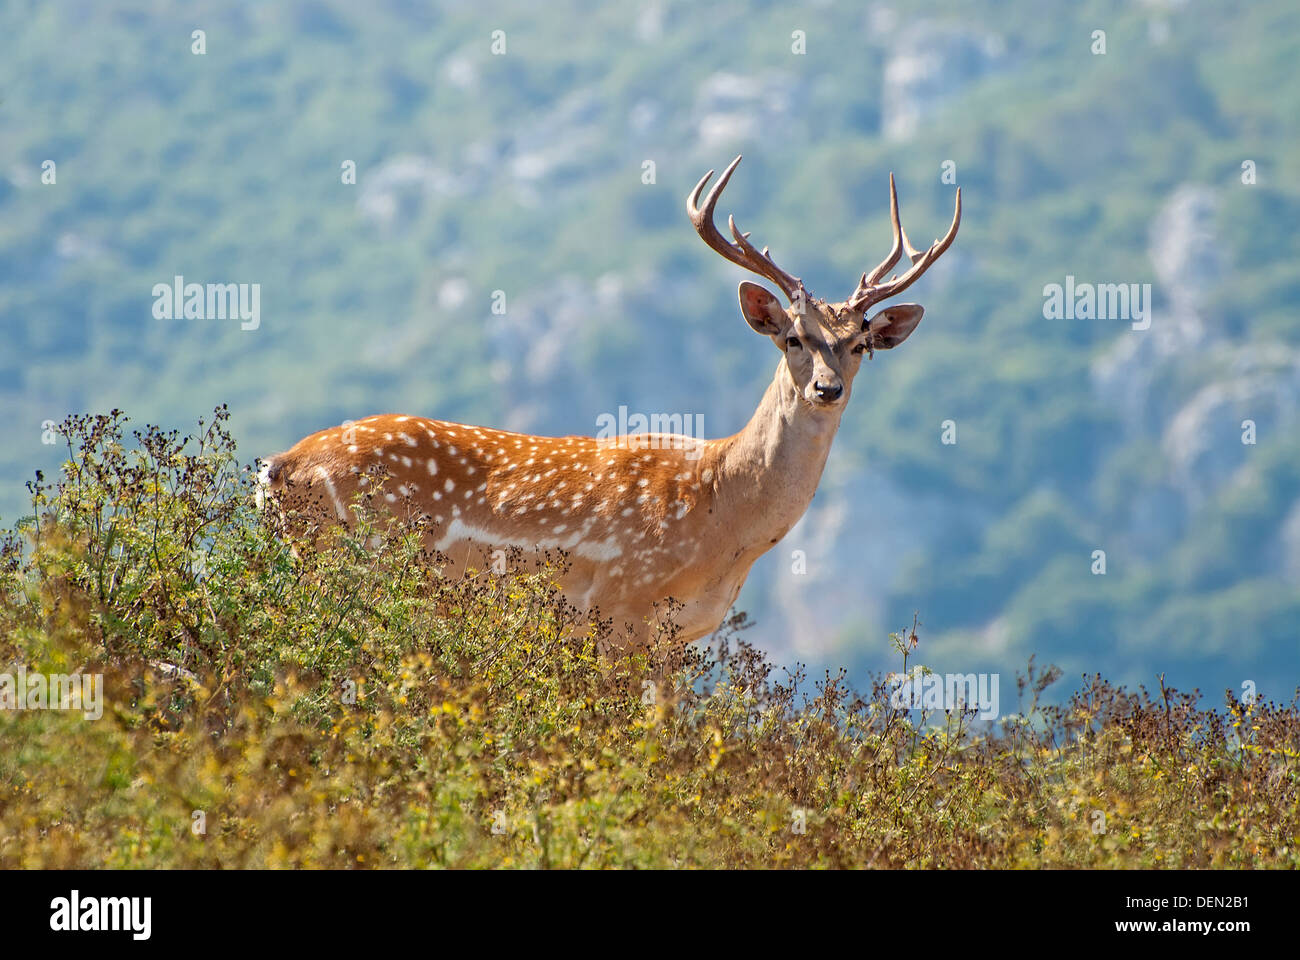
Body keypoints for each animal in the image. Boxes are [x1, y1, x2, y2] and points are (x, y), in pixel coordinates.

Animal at [258, 155, 961, 658]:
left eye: (860, 344)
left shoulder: (678, 639)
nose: (826, 389)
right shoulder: (621, 608)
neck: (723, 515)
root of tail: (279, 467)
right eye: (793, 337)